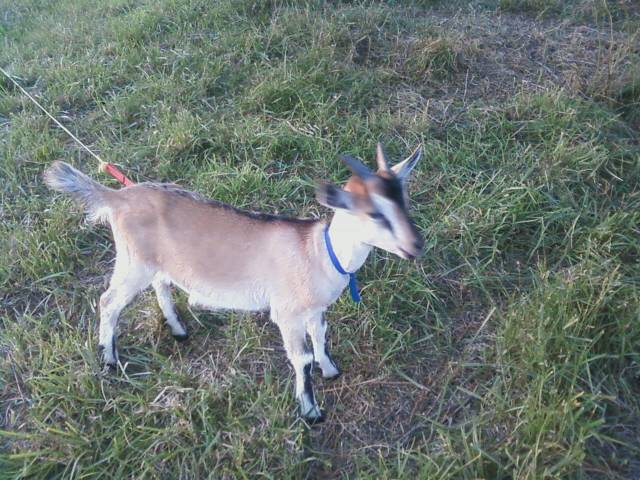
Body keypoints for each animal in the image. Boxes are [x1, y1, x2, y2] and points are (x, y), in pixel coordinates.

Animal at [44, 143, 423, 422]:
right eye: (374, 213)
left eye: (404, 201)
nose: (416, 245)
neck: (317, 251)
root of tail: (117, 197)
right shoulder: (286, 312)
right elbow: (300, 358)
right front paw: (311, 411)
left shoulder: (314, 309)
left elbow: (320, 336)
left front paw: (329, 369)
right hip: (133, 261)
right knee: (108, 302)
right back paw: (108, 360)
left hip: (156, 262)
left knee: (161, 285)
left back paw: (178, 329)